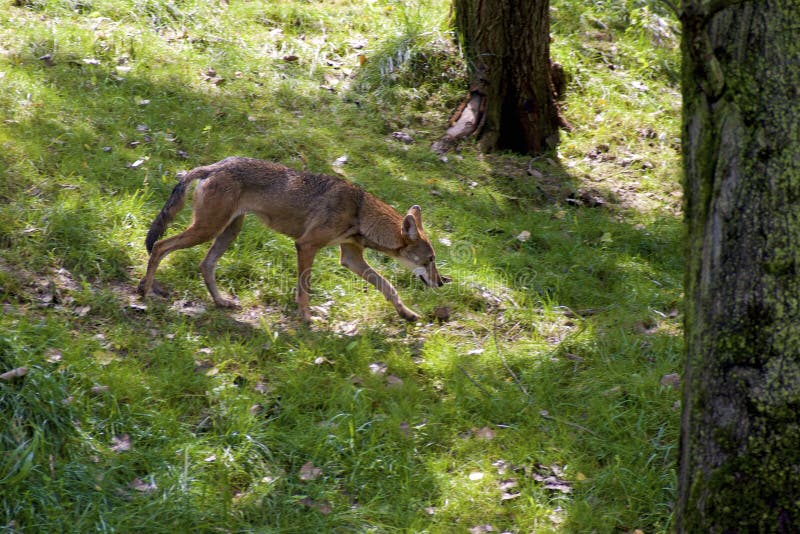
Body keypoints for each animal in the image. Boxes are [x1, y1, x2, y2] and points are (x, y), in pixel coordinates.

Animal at [137, 157, 446, 322]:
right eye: (430, 260)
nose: (443, 282)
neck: (360, 212)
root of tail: (213, 166)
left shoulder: (350, 258)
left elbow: (389, 287)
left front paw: (407, 314)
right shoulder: (306, 246)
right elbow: (304, 289)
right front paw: (307, 318)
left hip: (227, 232)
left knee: (204, 265)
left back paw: (221, 302)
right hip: (208, 230)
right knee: (161, 246)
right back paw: (146, 291)